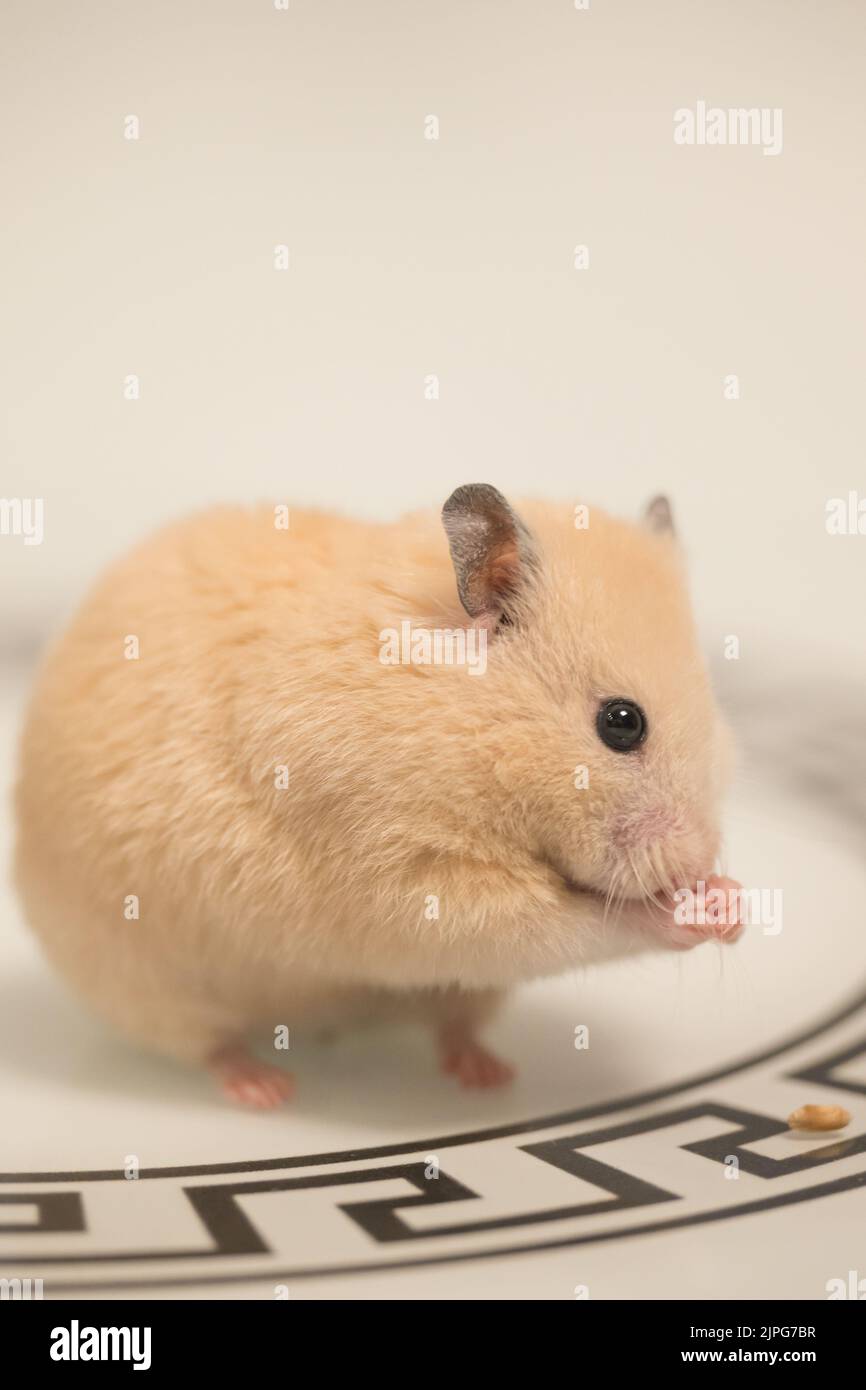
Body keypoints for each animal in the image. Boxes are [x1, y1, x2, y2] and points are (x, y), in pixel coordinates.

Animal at [14, 485, 743, 1105]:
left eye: (712, 710)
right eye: (621, 722)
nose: (694, 862)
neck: (462, 722)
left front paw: (728, 902)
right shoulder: (413, 885)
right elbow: (573, 924)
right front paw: (695, 912)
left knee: (452, 1022)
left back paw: (485, 1076)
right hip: (142, 985)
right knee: (207, 1044)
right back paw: (265, 1087)